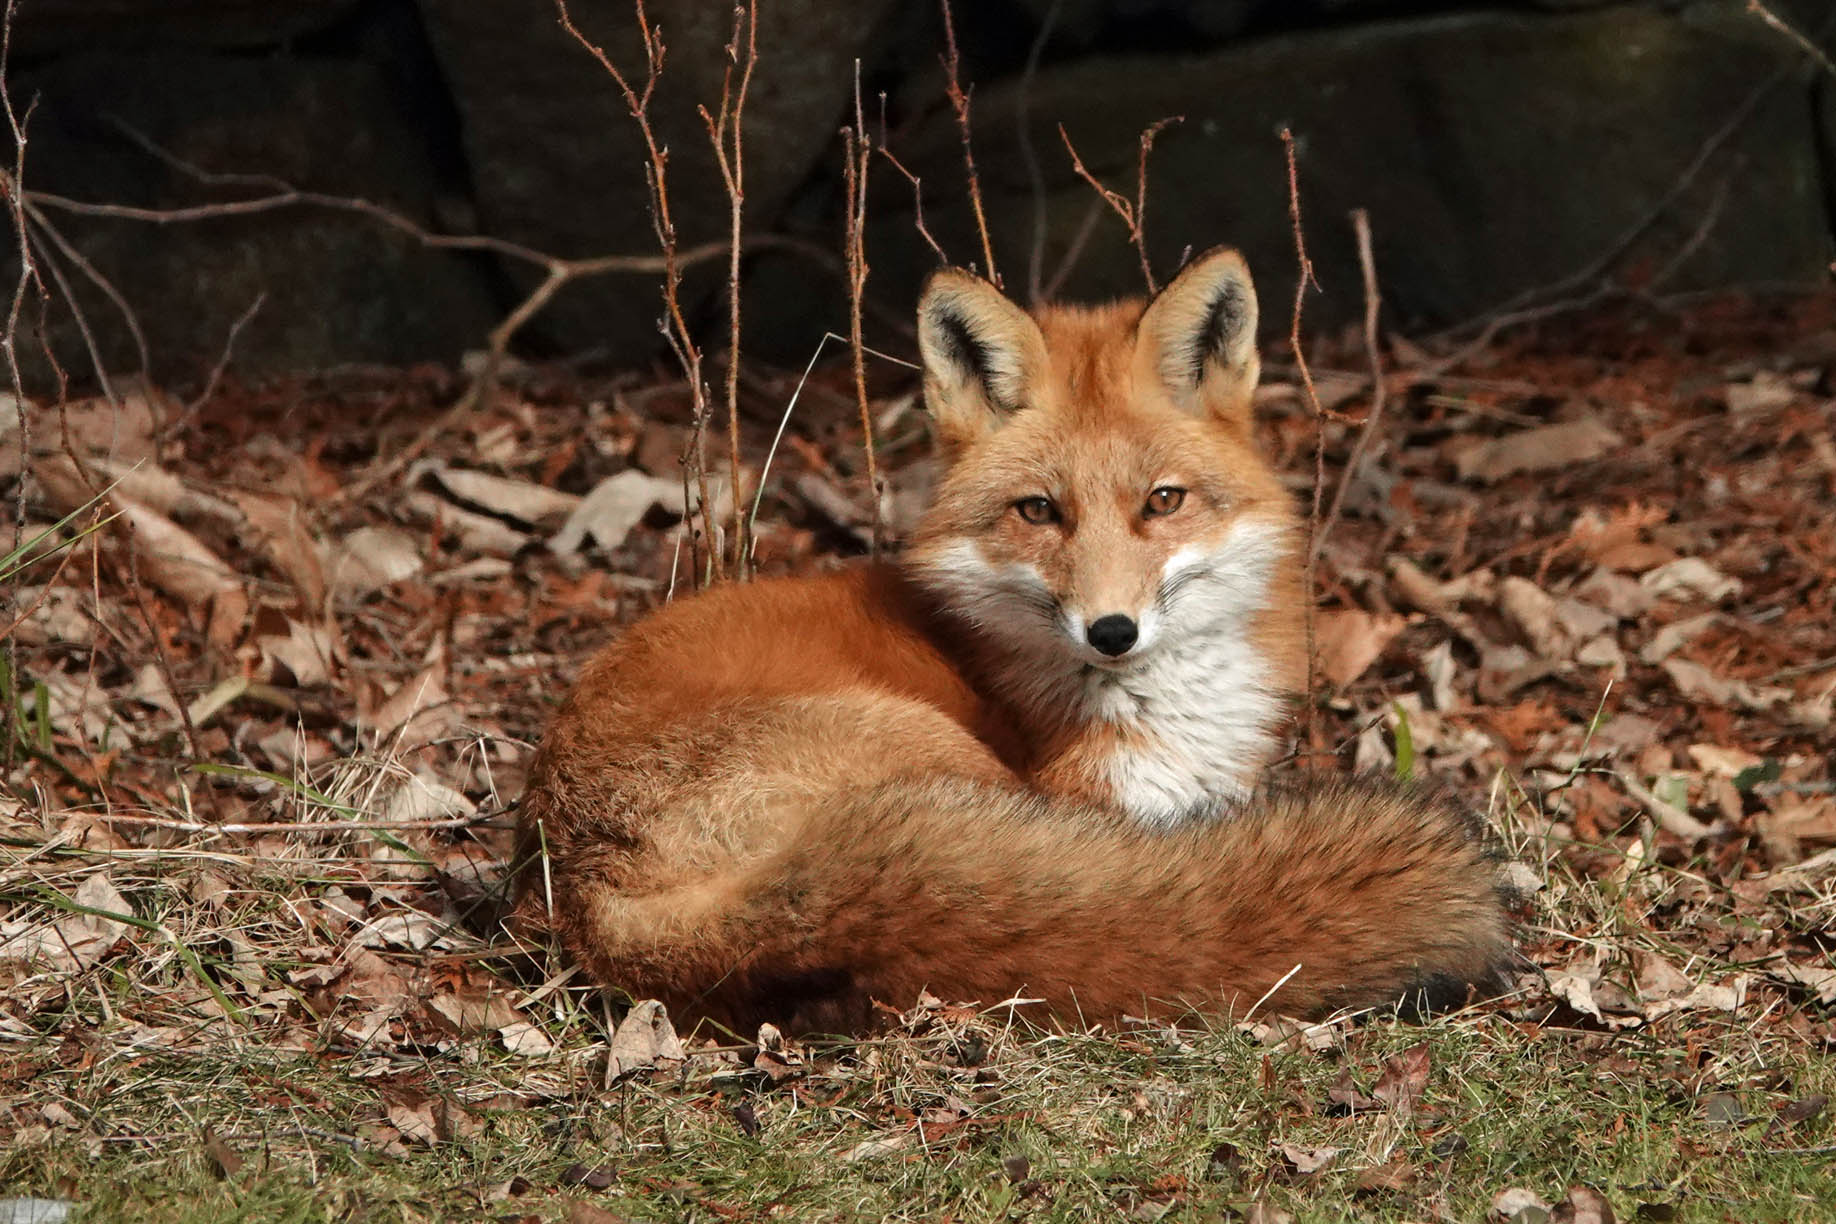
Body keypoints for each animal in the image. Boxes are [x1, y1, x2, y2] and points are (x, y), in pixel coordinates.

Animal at [513, 247, 1513, 1035]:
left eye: (1162, 501)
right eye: (1039, 511)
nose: (1112, 631)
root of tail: (588, 884)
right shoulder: (1093, 805)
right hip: (939, 755)